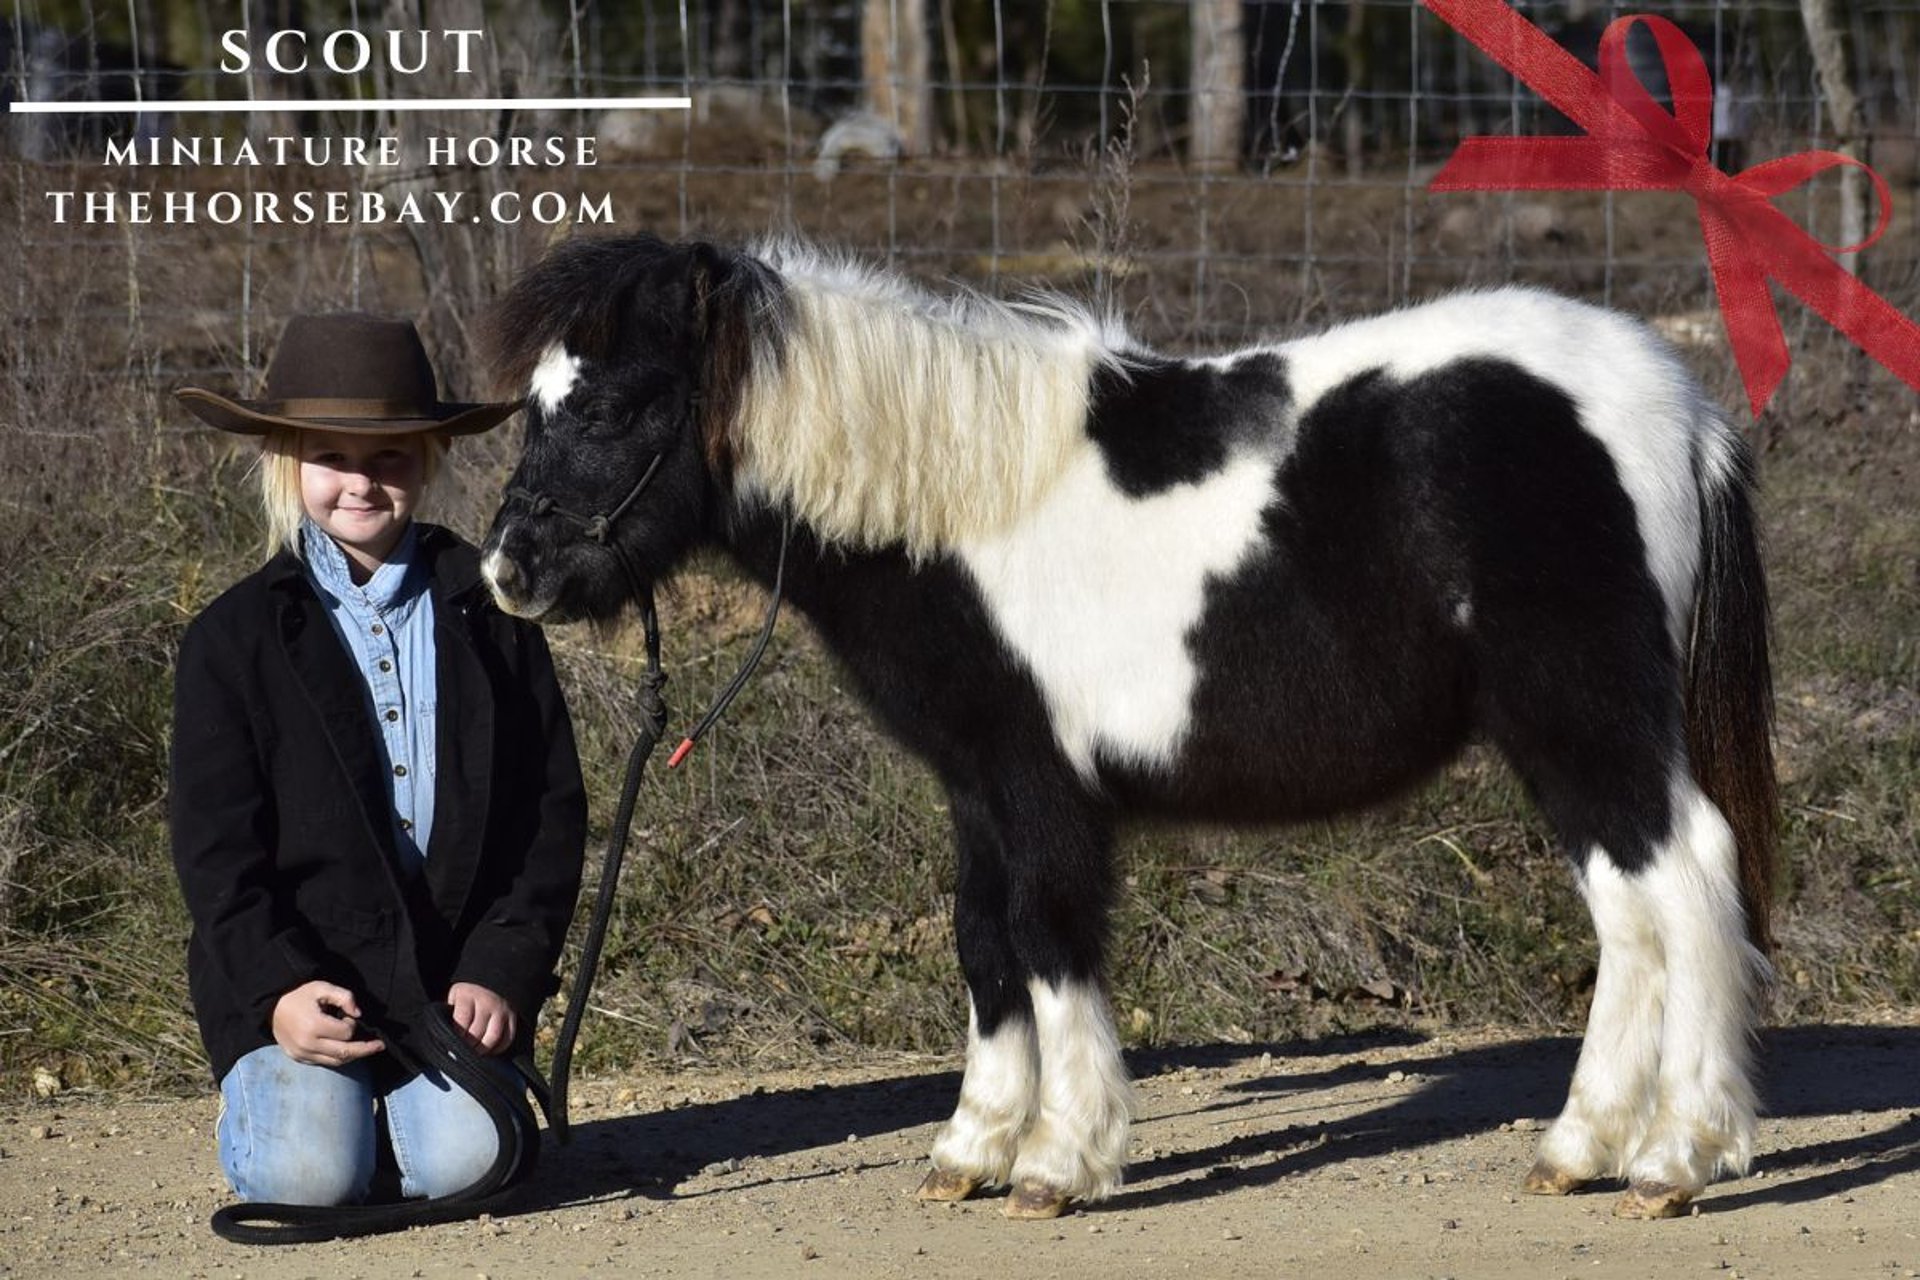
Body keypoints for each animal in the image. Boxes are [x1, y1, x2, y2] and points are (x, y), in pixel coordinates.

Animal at [479, 233, 1776, 1222]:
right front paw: (972, 1148)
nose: (508, 569)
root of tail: (1675, 404)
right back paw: (1582, 1148)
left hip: (1583, 713)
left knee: (1688, 880)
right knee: (1633, 915)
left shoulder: (1041, 784)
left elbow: (1049, 941)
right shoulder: (977, 787)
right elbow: (983, 944)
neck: (960, 503)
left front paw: (1058, 1162)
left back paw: (1675, 1158)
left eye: (612, 401)